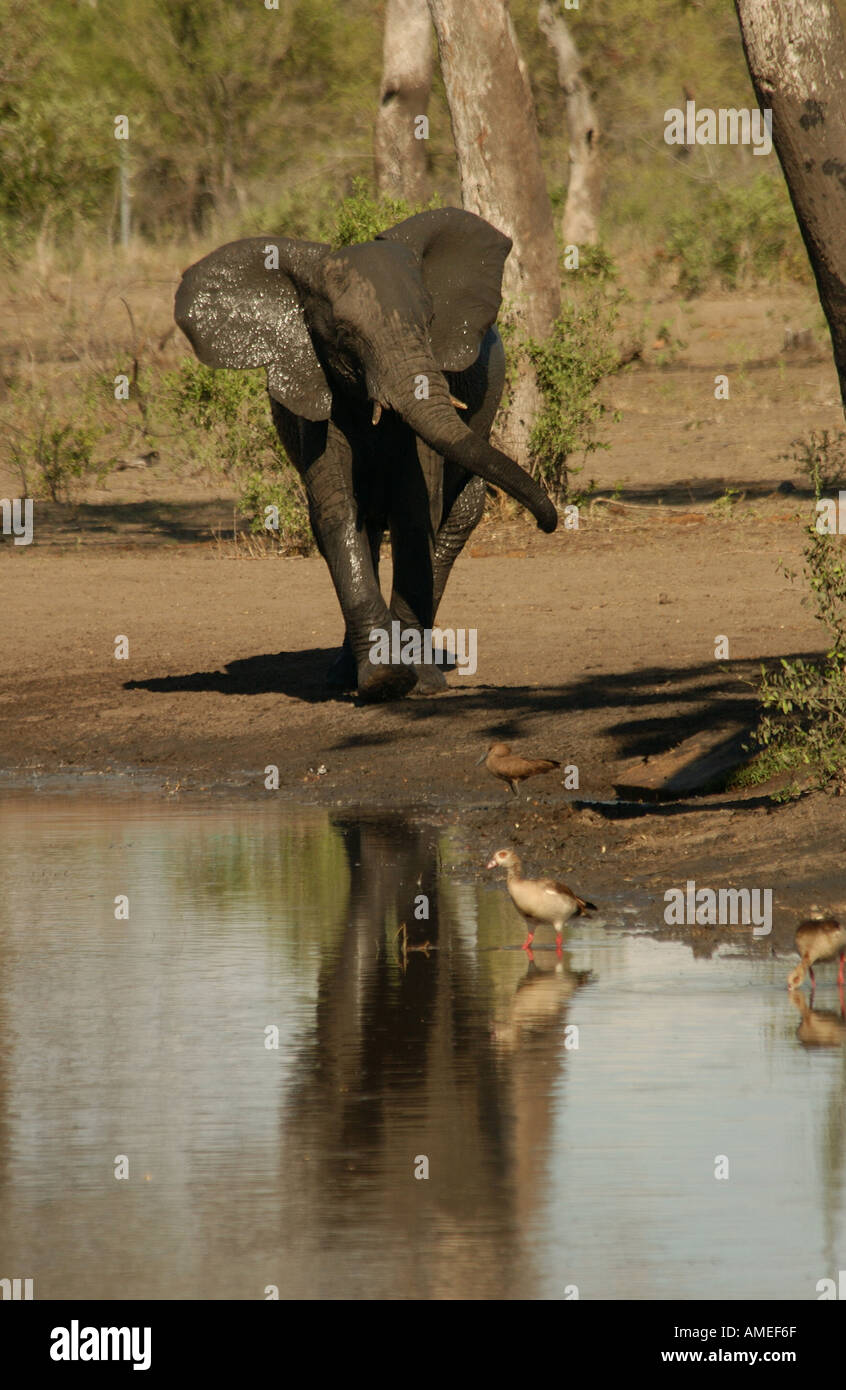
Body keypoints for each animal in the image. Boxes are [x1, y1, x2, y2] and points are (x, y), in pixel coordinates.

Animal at [174, 207, 557, 701]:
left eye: (430, 320)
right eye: (344, 335)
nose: (548, 523)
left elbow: (416, 512)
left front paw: (417, 683)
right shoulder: (314, 391)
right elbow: (338, 513)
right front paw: (381, 679)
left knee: (455, 522)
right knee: (364, 530)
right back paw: (345, 674)